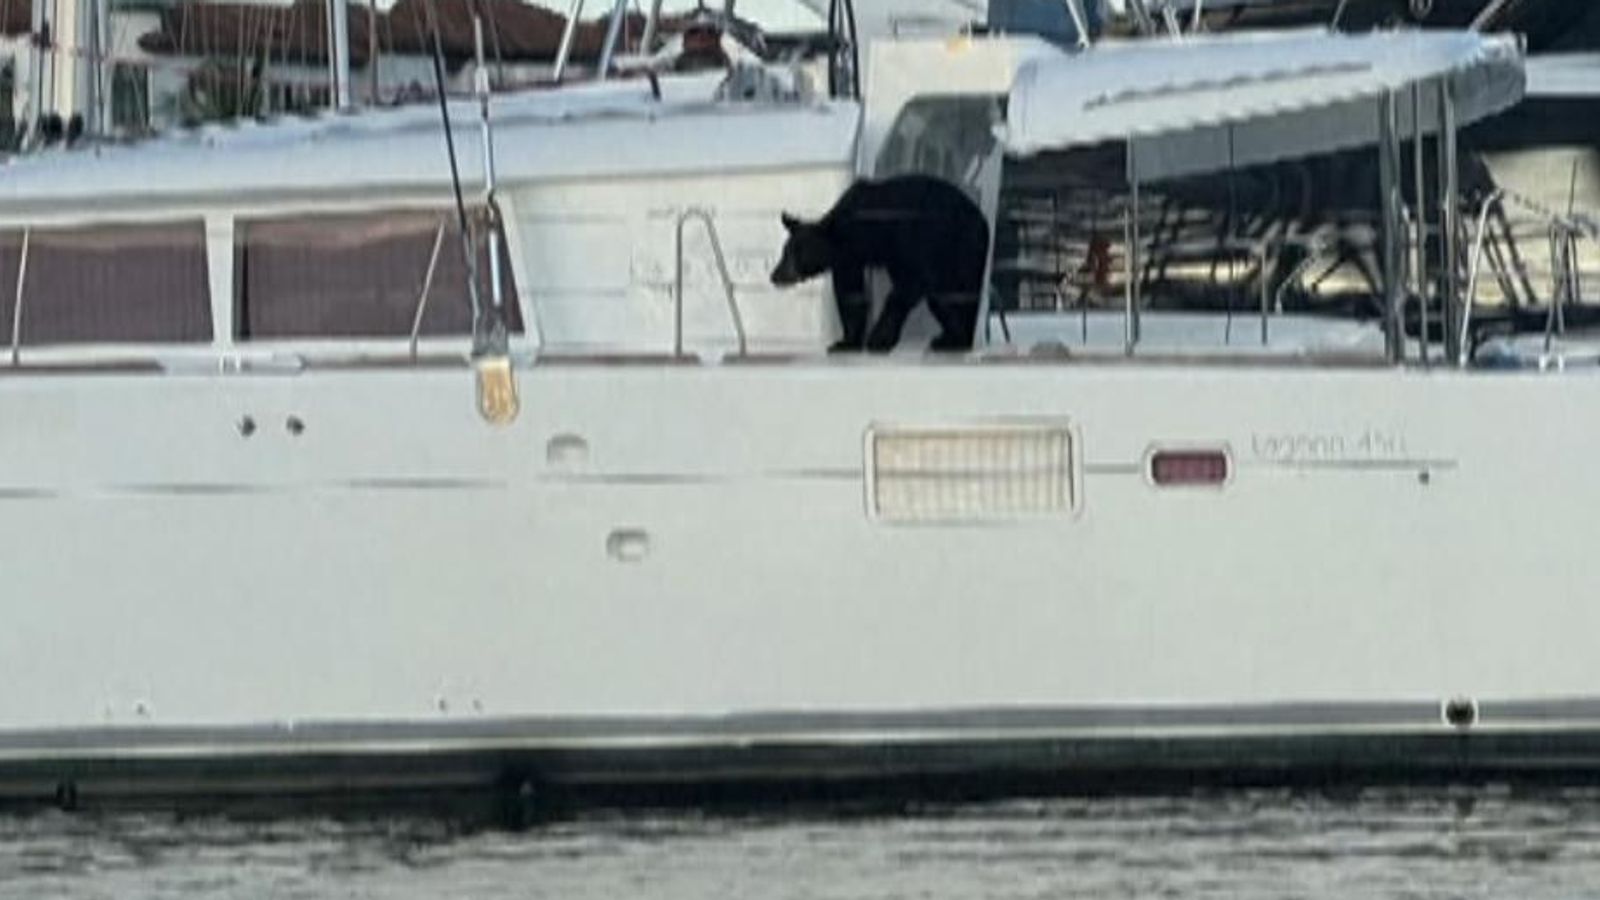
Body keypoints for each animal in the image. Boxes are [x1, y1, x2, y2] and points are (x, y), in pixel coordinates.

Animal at [769, 175, 990, 353]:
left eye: (794, 254)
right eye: (784, 252)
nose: (774, 275)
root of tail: (982, 219)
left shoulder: (911, 236)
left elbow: (912, 280)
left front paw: (879, 339)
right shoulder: (850, 259)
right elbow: (851, 294)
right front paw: (845, 342)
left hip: (964, 245)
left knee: (958, 290)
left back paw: (957, 339)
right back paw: (948, 337)